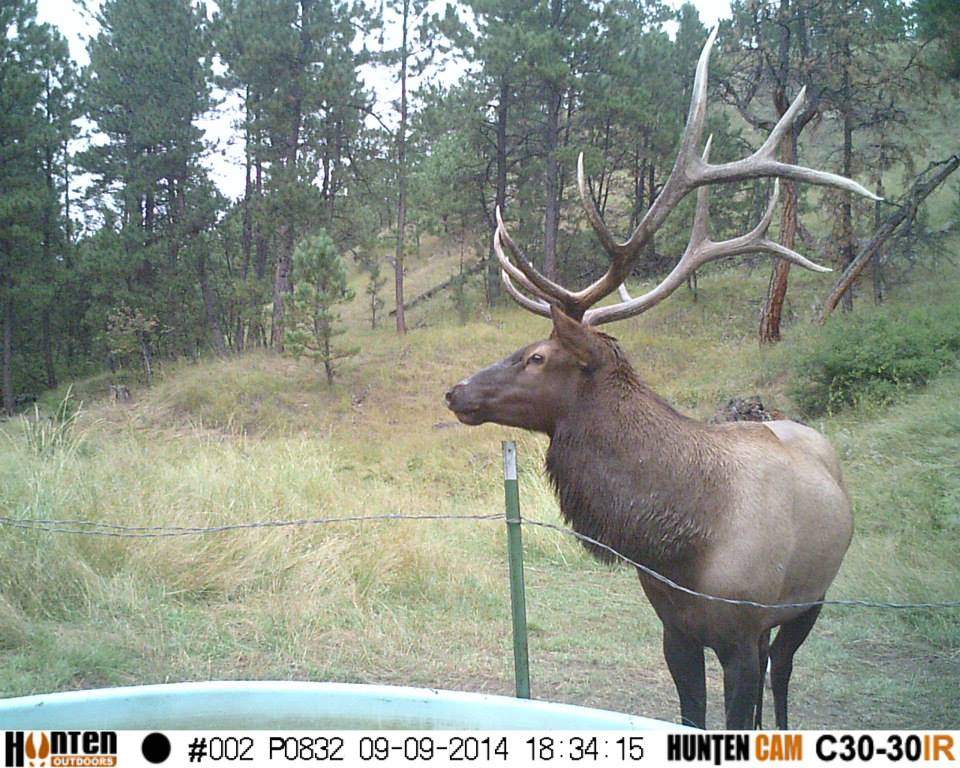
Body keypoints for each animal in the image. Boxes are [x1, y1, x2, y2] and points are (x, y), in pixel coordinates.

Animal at [444, 29, 863, 730]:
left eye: (537, 356)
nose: (456, 391)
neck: (680, 544)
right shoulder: (675, 630)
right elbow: (692, 715)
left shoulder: (741, 631)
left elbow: (739, 710)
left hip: (812, 601)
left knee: (782, 674)